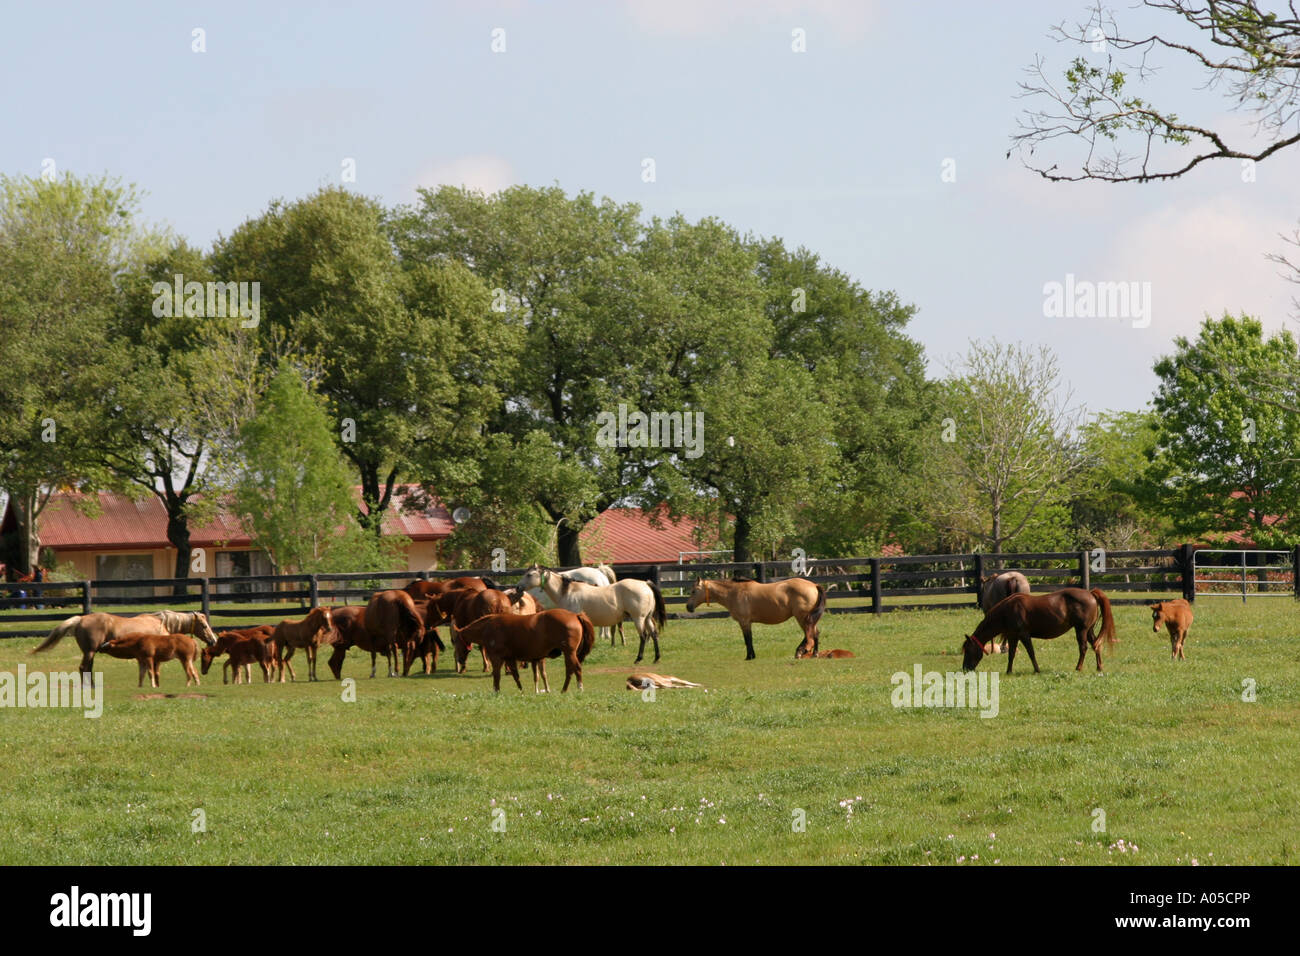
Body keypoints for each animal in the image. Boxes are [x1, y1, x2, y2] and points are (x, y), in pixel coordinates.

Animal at [31, 610, 218, 685]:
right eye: (204, 625)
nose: (213, 641)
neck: (162, 624)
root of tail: (80, 619)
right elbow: (155, 672)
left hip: (90, 653)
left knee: (87, 668)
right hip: (89, 652)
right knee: (84, 668)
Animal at [455, 610, 595, 693]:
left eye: (455, 641)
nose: (459, 660)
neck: (487, 627)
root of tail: (575, 615)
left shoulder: (496, 657)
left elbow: (497, 675)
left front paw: (496, 691)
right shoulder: (509, 658)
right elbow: (516, 676)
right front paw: (521, 691)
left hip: (569, 653)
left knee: (576, 668)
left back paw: (579, 688)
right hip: (569, 654)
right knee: (570, 670)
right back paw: (564, 690)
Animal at [519, 565, 665, 663]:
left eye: (529, 575)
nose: (518, 587)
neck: (568, 592)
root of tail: (645, 584)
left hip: (638, 619)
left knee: (644, 636)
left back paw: (639, 658)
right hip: (647, 619)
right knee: (654, 634)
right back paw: (656, 658)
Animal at [684, 577, 826, 661]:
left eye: (693, 591)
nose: (688, 607)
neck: (734, 593)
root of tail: (814, 585)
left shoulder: (744, 622)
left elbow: (748, 640)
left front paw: (749, 657)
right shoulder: (747, 623)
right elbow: (749, 640)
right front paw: (752, 656)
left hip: (802, 617)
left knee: (809, 635)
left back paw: (801, 651)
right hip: (809, 619)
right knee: (815, 633)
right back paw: (813, 654)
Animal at [962, 587, 1117, 674]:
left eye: (968, 651)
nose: (965, 669)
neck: (1007, 611)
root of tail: (1090, 593)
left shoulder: (1024, 635)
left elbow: (1031, 653)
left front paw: (1037, 670)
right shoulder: (1013, 636)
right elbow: (1011, 654)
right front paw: (1009, 671)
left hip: (1081, 630)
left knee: (1083, 648)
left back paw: (1078, 667)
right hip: (1088, 630)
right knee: (1096, 644)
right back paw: (1099, 667)